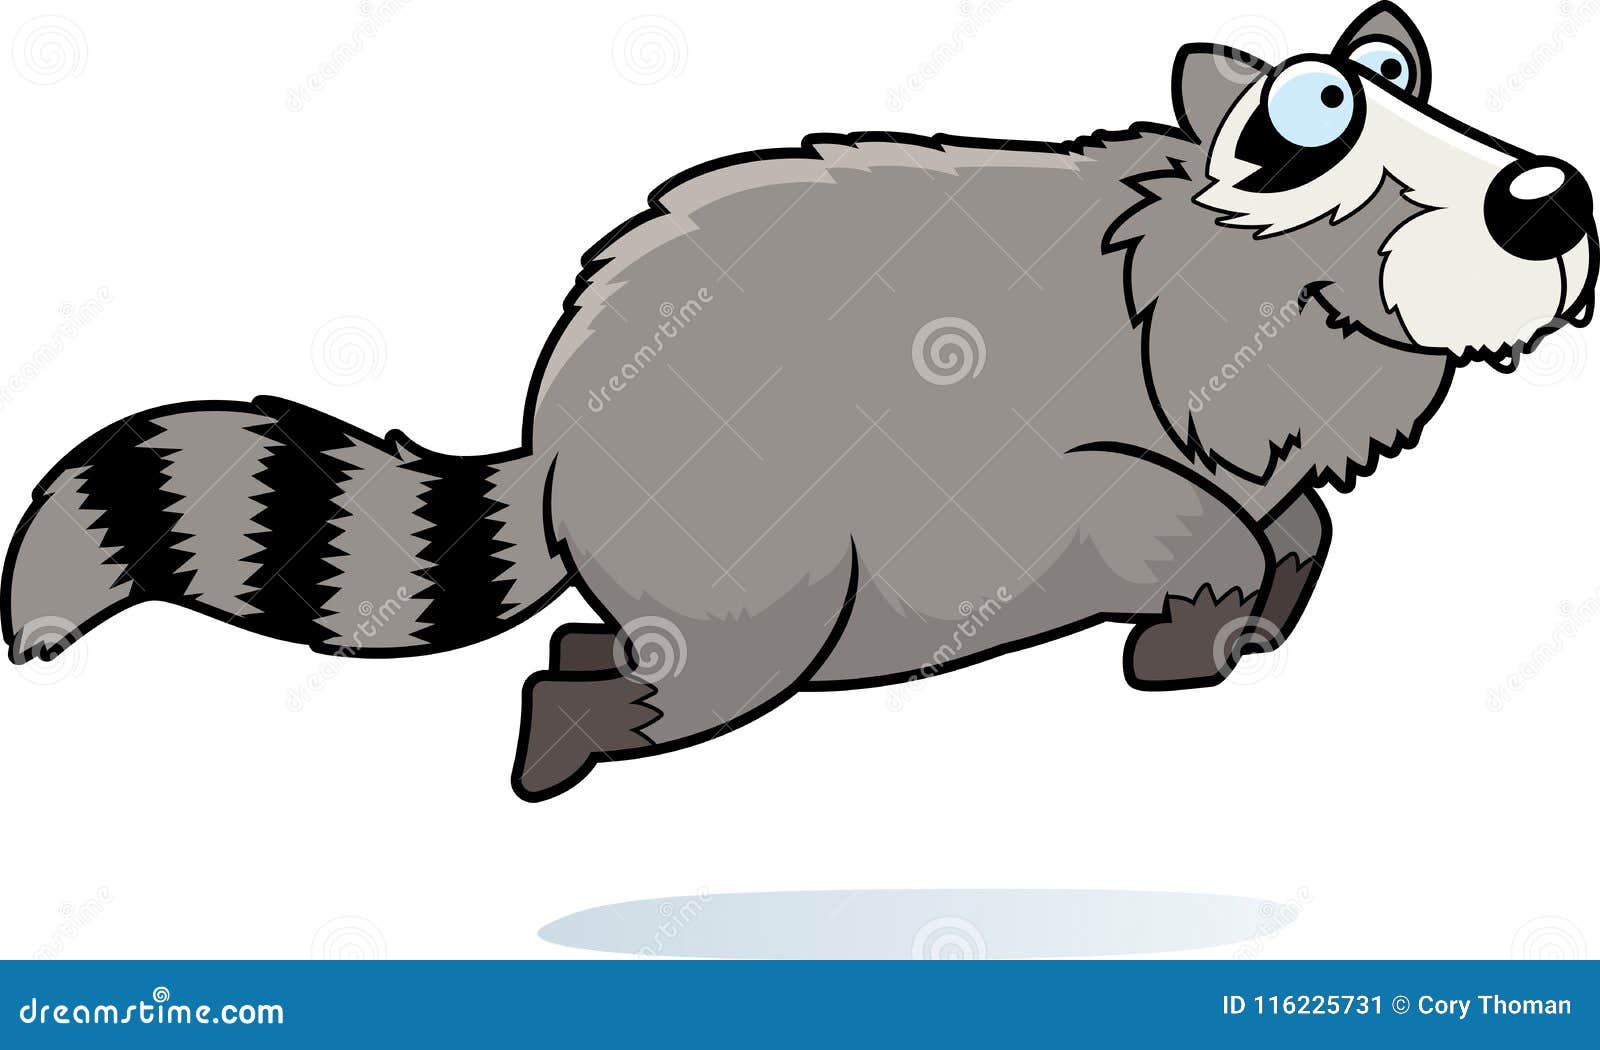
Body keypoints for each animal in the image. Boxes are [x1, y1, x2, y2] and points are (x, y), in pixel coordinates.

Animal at [6, 4, 1593, 801]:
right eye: (1323, 114)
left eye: (1398, 70)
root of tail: (562, 442)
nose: (1551, 201)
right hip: (761, 564)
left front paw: (1256, 591)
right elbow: (1134, 504)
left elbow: (1296, 524)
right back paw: (574, 722)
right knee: (699, 672)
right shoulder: (1040, 459)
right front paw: (1214, 571)